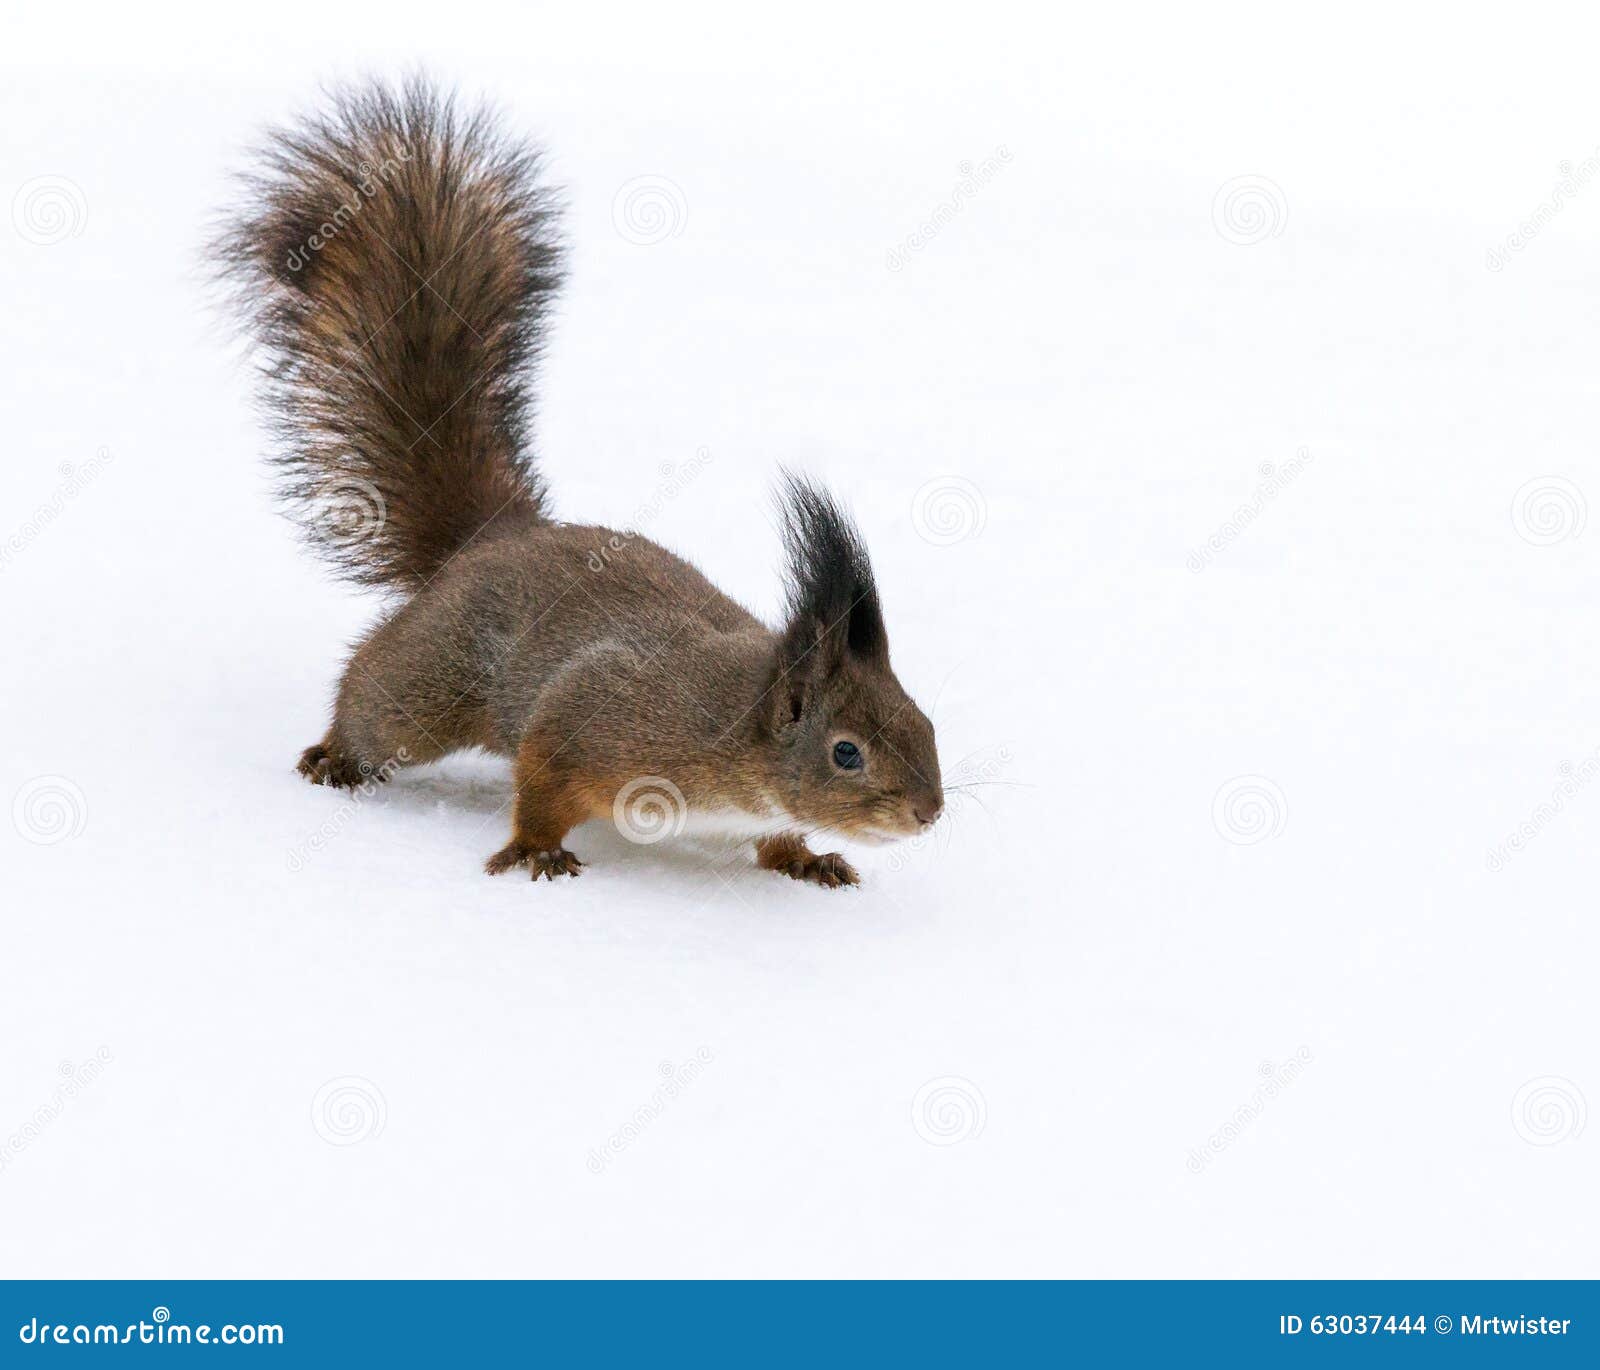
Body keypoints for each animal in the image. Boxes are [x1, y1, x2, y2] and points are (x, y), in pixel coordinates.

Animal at [216, 77, 943, 888]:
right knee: (376, 695)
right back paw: (336, 757)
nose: (931, 811)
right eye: (846, 751)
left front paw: (806, 858)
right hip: (432, 676)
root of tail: (497, 537)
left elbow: (778, 837)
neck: (735, 738)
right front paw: (537, 847)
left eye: (924, 719)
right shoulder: (598, 722)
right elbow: (543, 776)